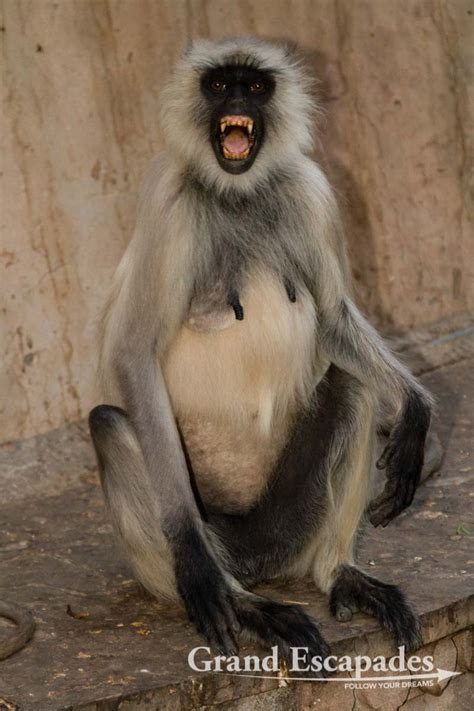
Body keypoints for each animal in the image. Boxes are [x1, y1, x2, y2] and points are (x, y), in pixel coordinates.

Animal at [89, 37, 434, 669]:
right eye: (218, 84)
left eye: (253, 86)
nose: (236, 100)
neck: (238, 193)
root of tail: (257, 559)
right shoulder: (169, 201)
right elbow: (131, 353)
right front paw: (198, 569)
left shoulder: (308, 188)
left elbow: (331, 318)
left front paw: (416, 411)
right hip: (215, 535)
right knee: (108, 421)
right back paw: (243, 603)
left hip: (288, 524)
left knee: (353, 384)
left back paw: (337, 572)